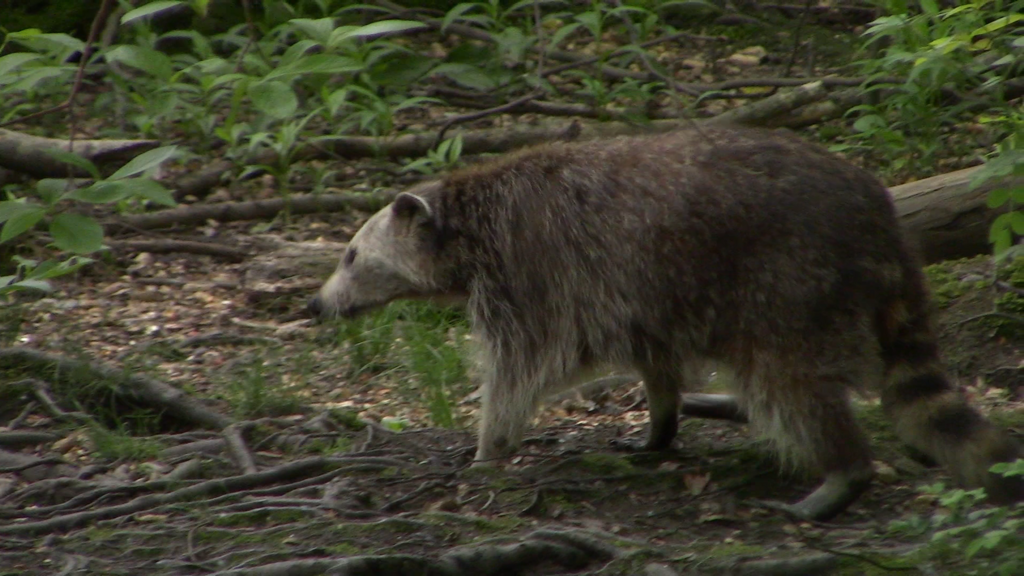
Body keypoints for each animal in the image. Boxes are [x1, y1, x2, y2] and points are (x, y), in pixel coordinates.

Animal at [309, 126, 1022, 520]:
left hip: (791, 278)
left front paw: (490, 445)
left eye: (350, 256)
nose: (317, 305)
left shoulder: (532, 271)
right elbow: (652, 356)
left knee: (789, 384)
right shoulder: (633, 290)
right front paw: (661, 420)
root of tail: (880, 215)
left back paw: (843, 469)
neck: (464, 215)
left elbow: (525, 365)